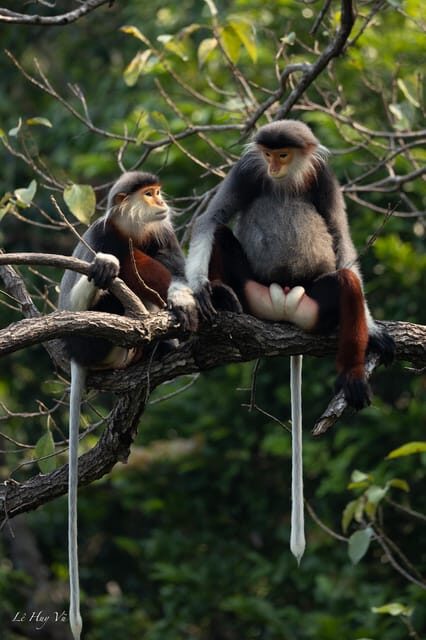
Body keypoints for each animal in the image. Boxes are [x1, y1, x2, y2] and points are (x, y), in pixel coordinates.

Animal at [59, 171, 198, 640]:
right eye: (149, 194)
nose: (162, 201)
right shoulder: (102, 233)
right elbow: (79, 289)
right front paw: (106, 266)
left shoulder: (162, 231)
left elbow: (177, 268)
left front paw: (184, 304)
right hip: (88, 343)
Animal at [184, 120, 395, 563]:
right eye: (267, 155)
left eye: (283, 155)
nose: (274, 167)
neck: (287, 179)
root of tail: (283, 295)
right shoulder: (247, 170)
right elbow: (210, 221)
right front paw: (199, 288)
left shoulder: (324, 178)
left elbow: (341, 241)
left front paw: (375, 330)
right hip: (255, 295)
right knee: (223, 234)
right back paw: (223, 298)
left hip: (312, 308)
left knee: (347, 280)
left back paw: (352, 376)